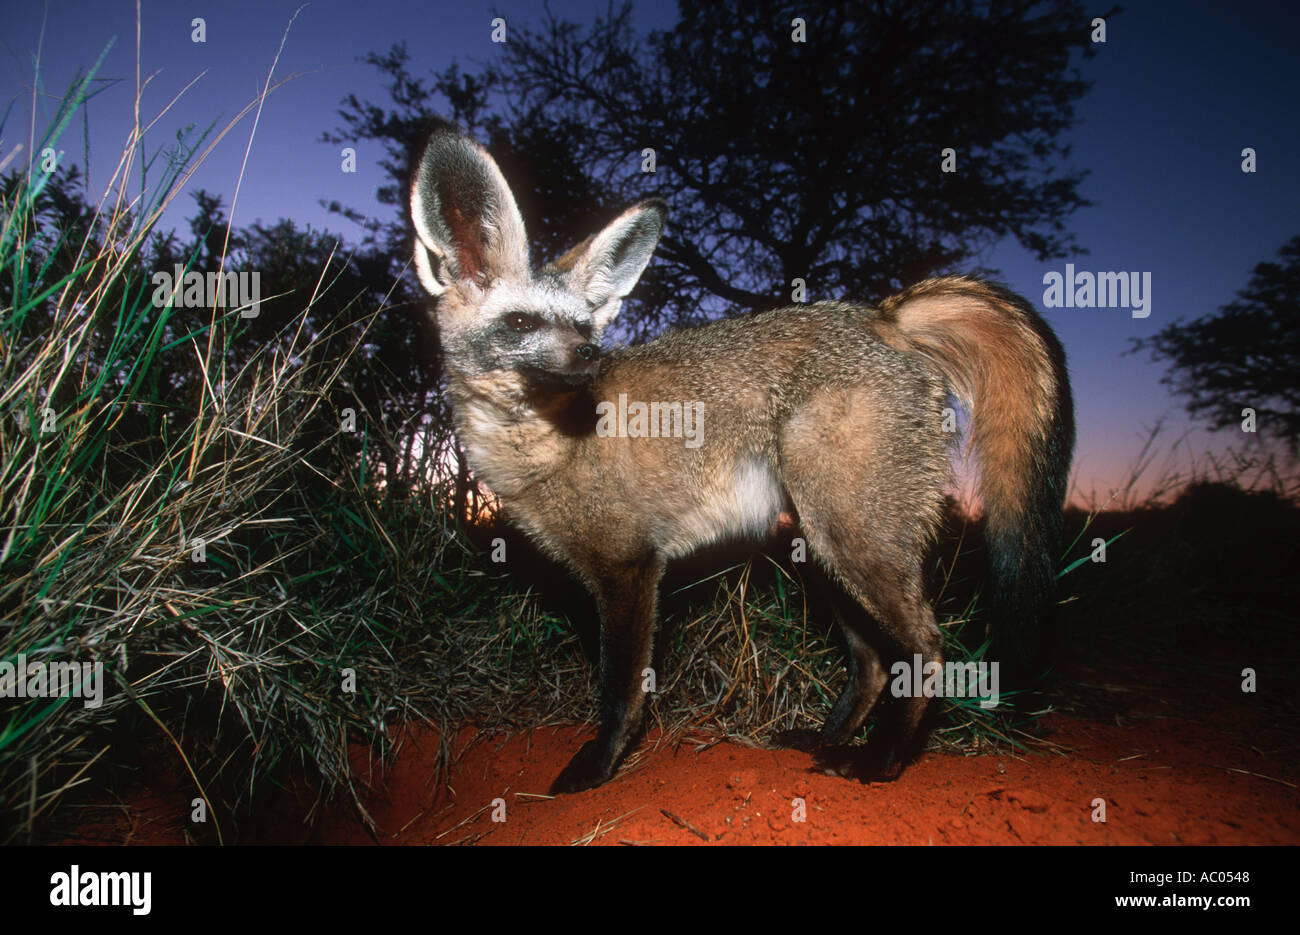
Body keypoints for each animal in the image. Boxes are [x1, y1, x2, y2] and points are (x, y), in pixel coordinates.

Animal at [408, 123, 1075, 794]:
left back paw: (880, 760)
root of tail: (879, 314)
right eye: (520, 322)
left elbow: (622, 691)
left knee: (929, 648)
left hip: (852, 541)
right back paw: (829, 740)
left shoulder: (631, 566)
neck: (547, 442)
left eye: (584, 327)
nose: (590, 356)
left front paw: (597, 767)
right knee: (874, 662)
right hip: (823, 549)